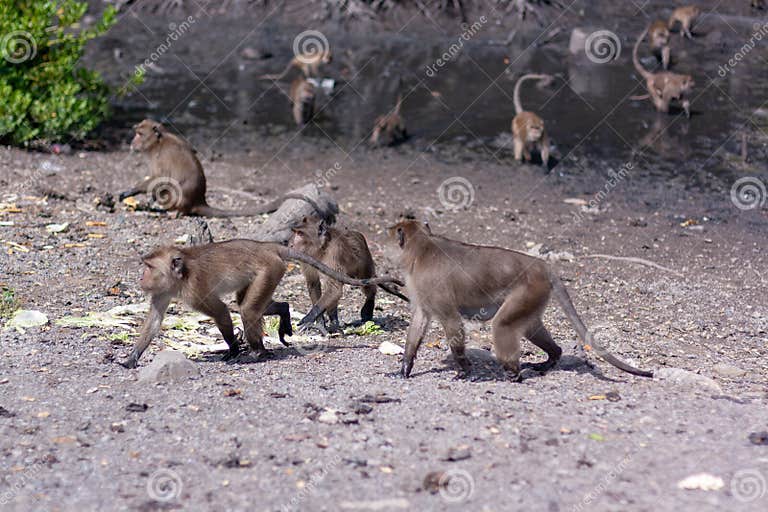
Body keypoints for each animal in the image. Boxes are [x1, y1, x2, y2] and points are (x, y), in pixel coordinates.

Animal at [120, 240, 403, 368]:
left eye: (148, 267)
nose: (141, 278)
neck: (180, 275)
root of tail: (269, 247)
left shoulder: (194, 289)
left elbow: (221, 312)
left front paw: (234, 349)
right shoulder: (162, 290)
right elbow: (154, 321)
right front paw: (131, 358)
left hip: (270, 269)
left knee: (246, 309)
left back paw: (258, 352)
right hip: (268, 272)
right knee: (250, 304)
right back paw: (283, 313)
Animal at [121, 120, 326, 217]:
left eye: (139, 134)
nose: (132, 142)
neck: (158, 143)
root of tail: (198, 201)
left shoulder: (158, 158)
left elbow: (160, 178)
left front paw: (131, 191)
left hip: (180, 201)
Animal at [387, 220, 653, 381]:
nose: (388, 231)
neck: (422, 248)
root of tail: (542, 266)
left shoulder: (434, 288)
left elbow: (453, 324)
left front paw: (464, 370)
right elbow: (419, 321)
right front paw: (405, 367)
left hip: (529, 289)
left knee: (502, 325)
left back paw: (513, 373)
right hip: (535, 295)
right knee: (530, 327)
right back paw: (552, 357)